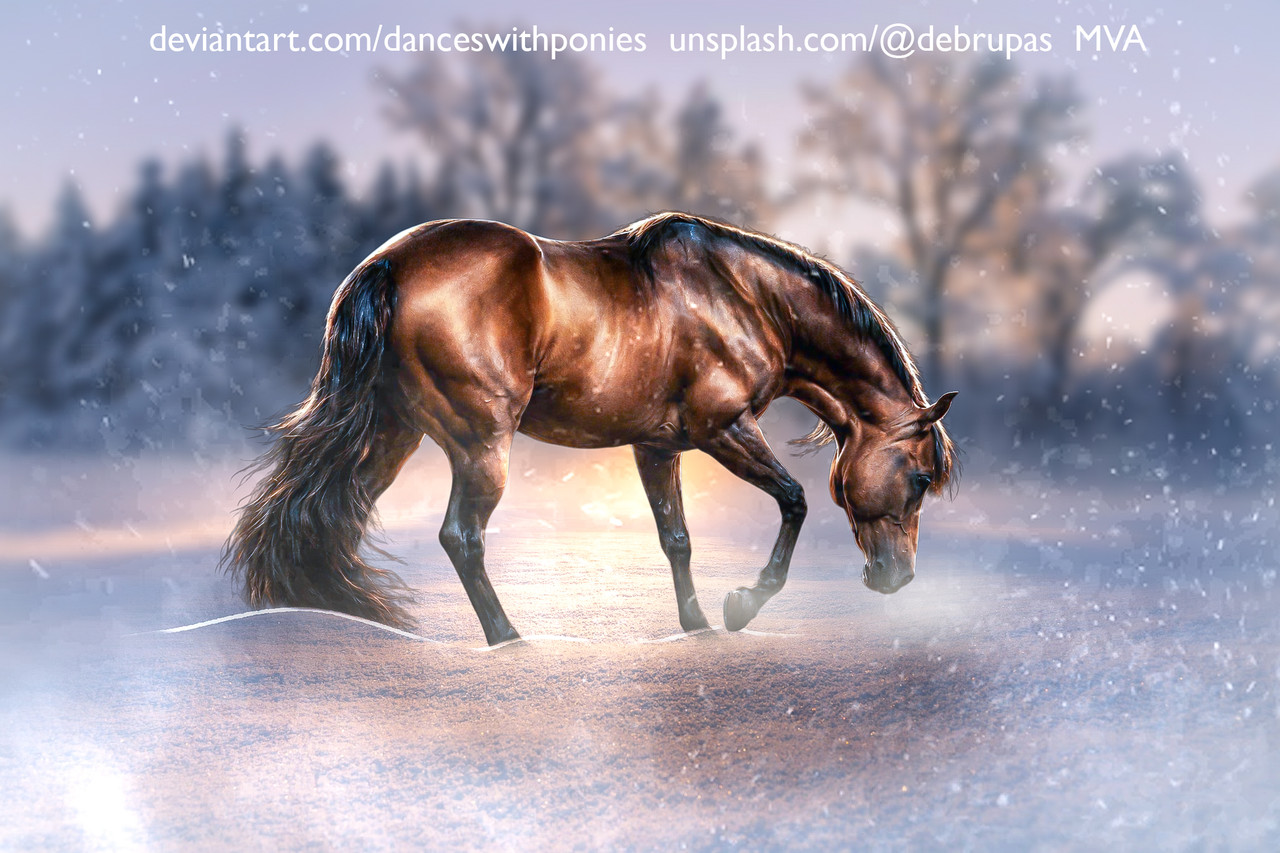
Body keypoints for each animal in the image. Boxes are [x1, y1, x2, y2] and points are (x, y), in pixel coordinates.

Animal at [222, 212, 958, 645]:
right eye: (921, 477)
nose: (897, 577)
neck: (744, 298)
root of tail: (386, 267)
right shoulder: (722, 429)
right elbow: (795, 501)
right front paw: (742, 604)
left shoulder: (658, 446)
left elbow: (677, 539)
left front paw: (696, 624)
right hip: (479, 443)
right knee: (460, 536)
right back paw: (507, 637)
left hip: (390, 435)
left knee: (325, 512)